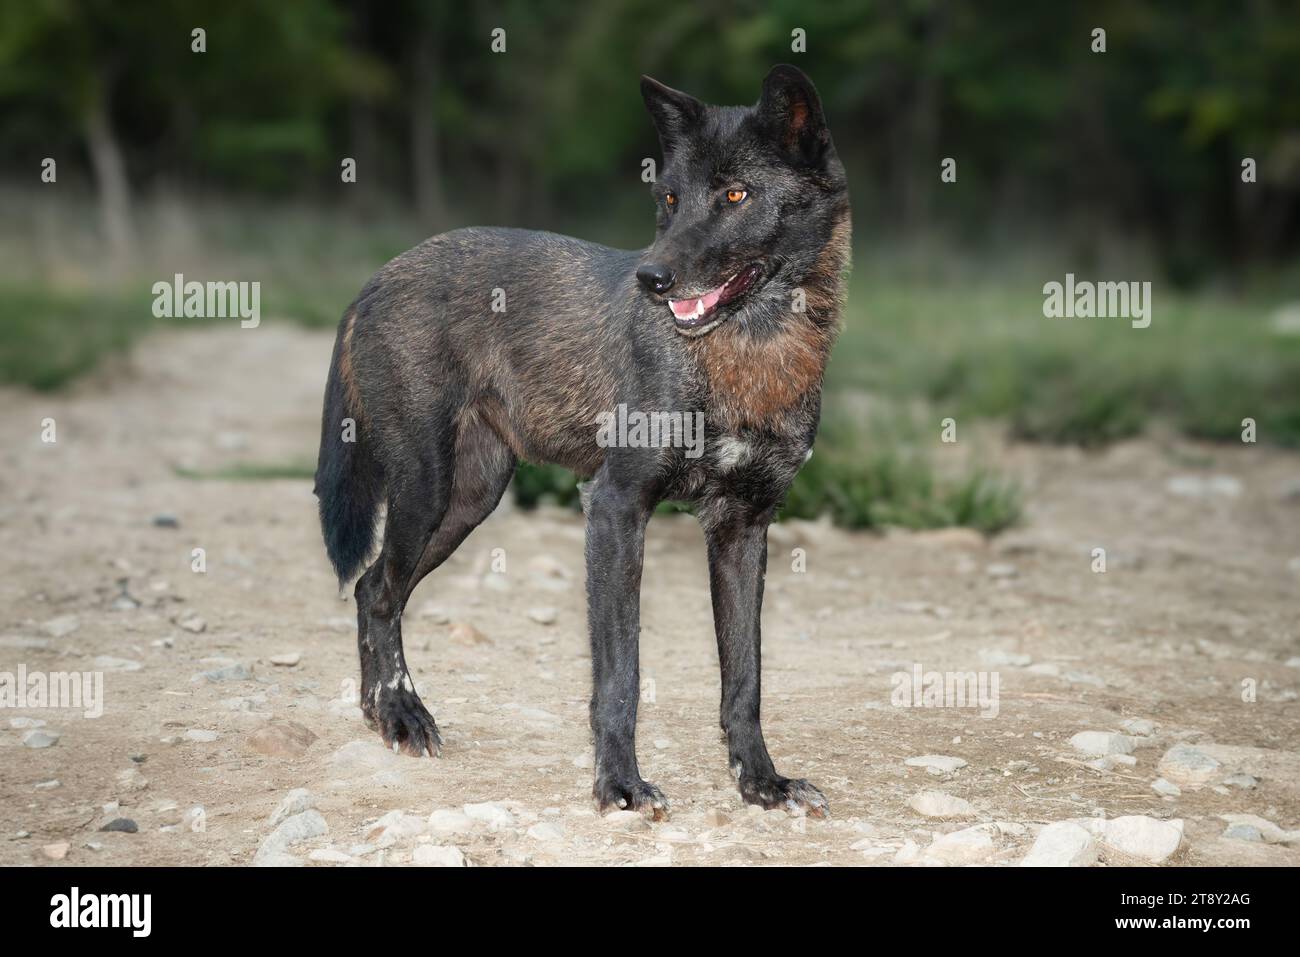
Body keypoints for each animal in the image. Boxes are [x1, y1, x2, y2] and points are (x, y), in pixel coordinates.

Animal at [315, 64, 850, 818]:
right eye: (670, 199)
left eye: (736, 194)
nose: (652, 279)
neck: (751, 350)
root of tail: (375, 279)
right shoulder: (616, 508)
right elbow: (620, 673)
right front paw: (619, 784)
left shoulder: (743, 528)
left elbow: (745, 678)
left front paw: (760, 780)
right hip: (425, 489)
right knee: (381, 590)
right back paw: (400, 713)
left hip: (469, 501)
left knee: (369, 587)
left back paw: (380, 711)